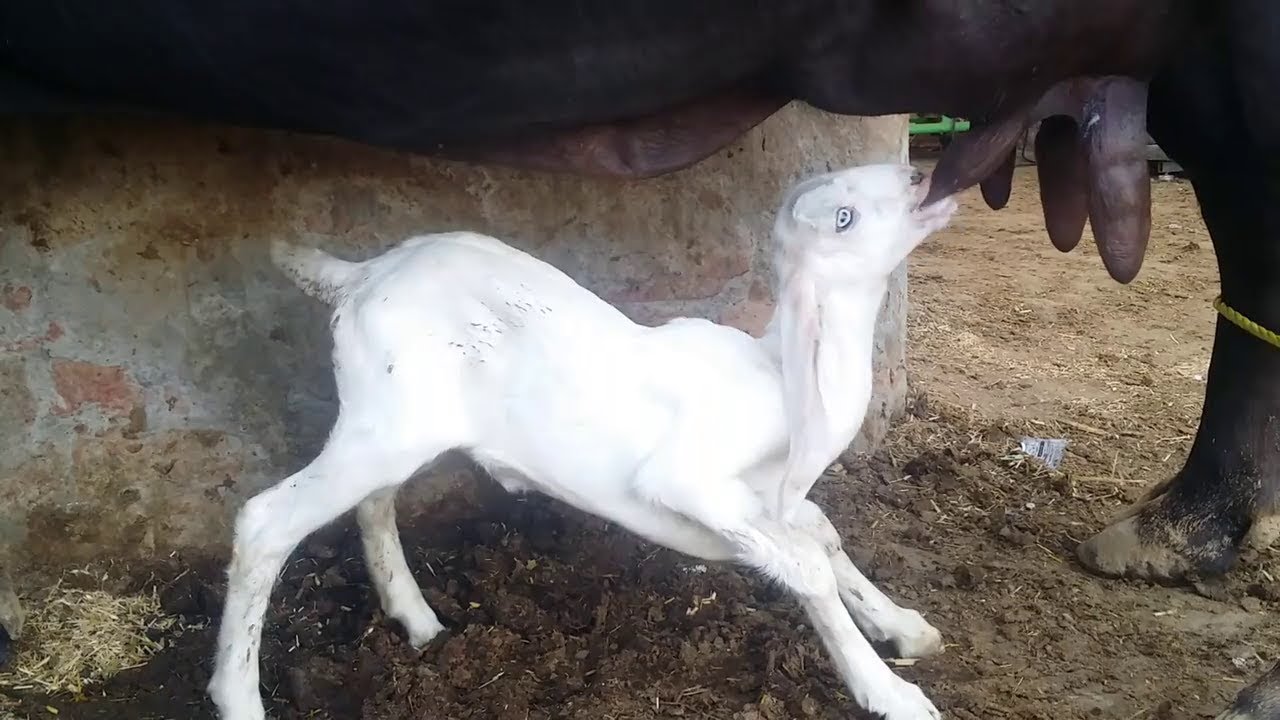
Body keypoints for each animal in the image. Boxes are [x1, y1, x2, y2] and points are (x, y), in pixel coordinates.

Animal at [207, 162, 959, 720]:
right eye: (844, 218)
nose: (922, 175)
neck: (776, 372)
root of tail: (358, 277)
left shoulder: (769, 499)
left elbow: (823, 535)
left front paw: (906, 627)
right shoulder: (689, 479)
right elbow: (804, 563)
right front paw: (892, 693)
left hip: (395, 423)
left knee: (372, 503)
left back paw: (417, 620)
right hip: (383, 425)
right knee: (266, 520)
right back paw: (238, 697)